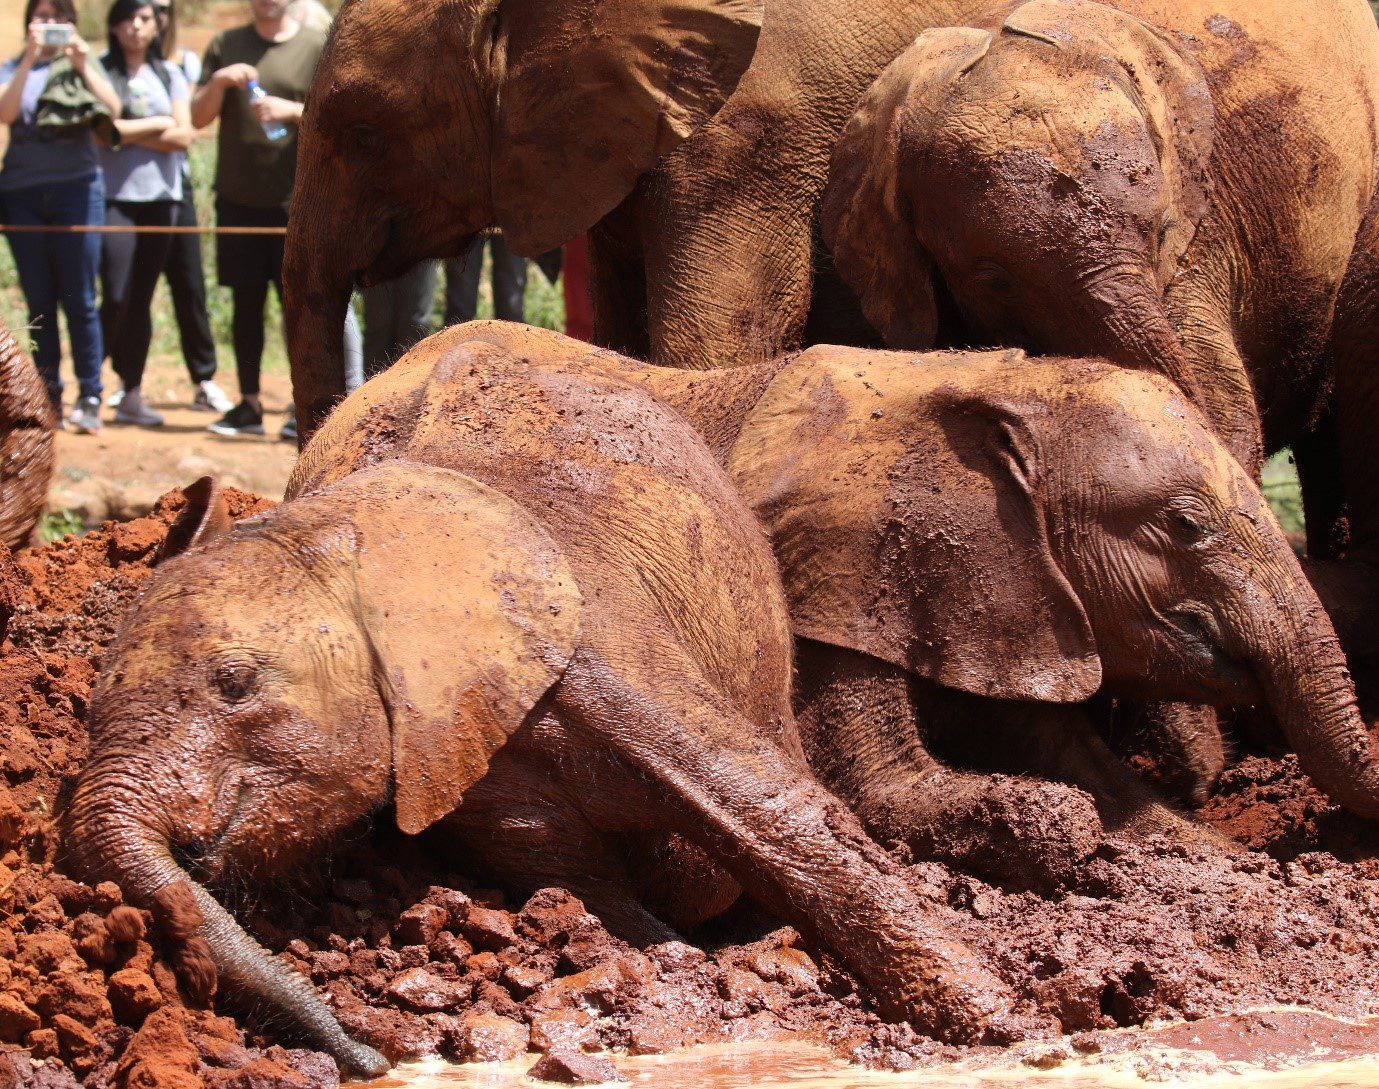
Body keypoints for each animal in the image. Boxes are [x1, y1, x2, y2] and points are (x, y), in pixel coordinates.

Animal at [62, 341, 1024, 1076]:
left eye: (234, 682)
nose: (371, 1058)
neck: (336, 527)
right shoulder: (465, 763)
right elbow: (569, 875)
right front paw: (662, 955)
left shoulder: (598, 635)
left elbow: (774, 810)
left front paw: (1004, 1025)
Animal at [427, 322, 1379, 887]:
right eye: (1184, 525)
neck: (998, 388)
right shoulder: (837, 577)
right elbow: (885, 791)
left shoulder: (998, 584)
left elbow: (1073, 760)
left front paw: (1220, 855)